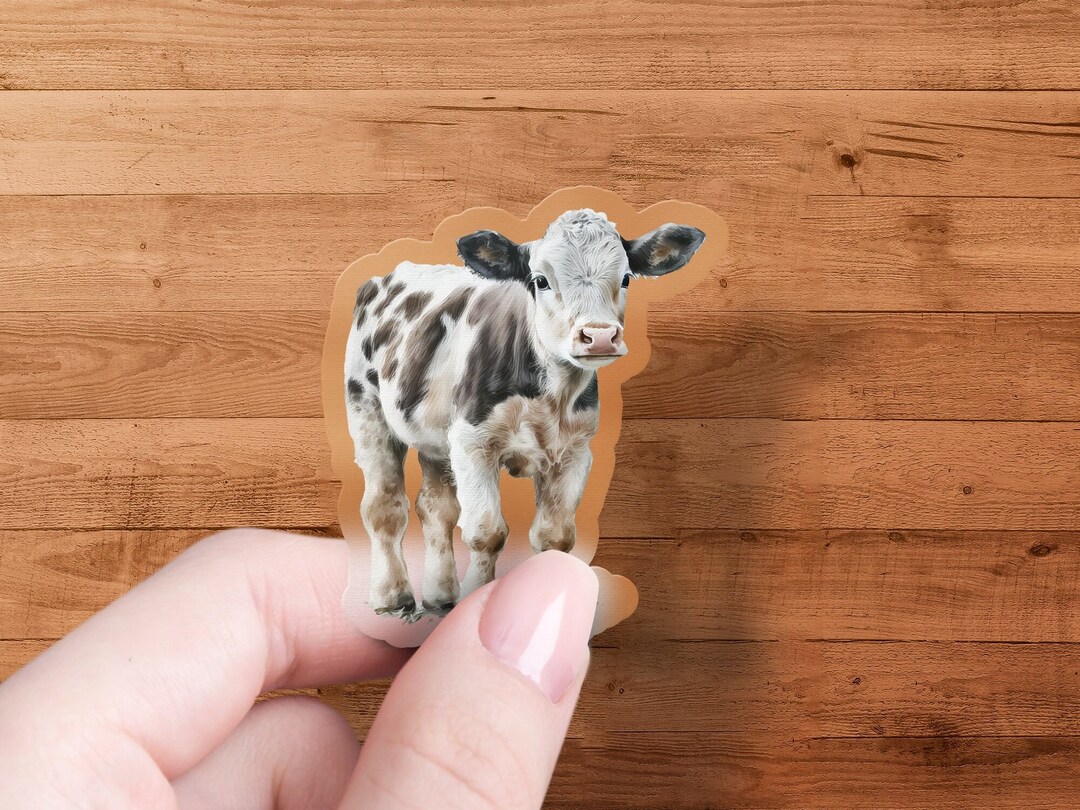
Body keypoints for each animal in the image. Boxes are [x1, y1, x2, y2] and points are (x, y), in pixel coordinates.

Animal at [344, 208, 705, 621]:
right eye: (540, 280)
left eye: (626, 277)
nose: (599, 336)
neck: (550, 395)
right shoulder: (472, 443)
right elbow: (486, 533)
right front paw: (475, 603)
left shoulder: (575, 452)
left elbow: (554, 538)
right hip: (366, 408)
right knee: (384, 509)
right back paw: (393, 598)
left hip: (436, 440)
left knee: (436, 509)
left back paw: (440, 598)